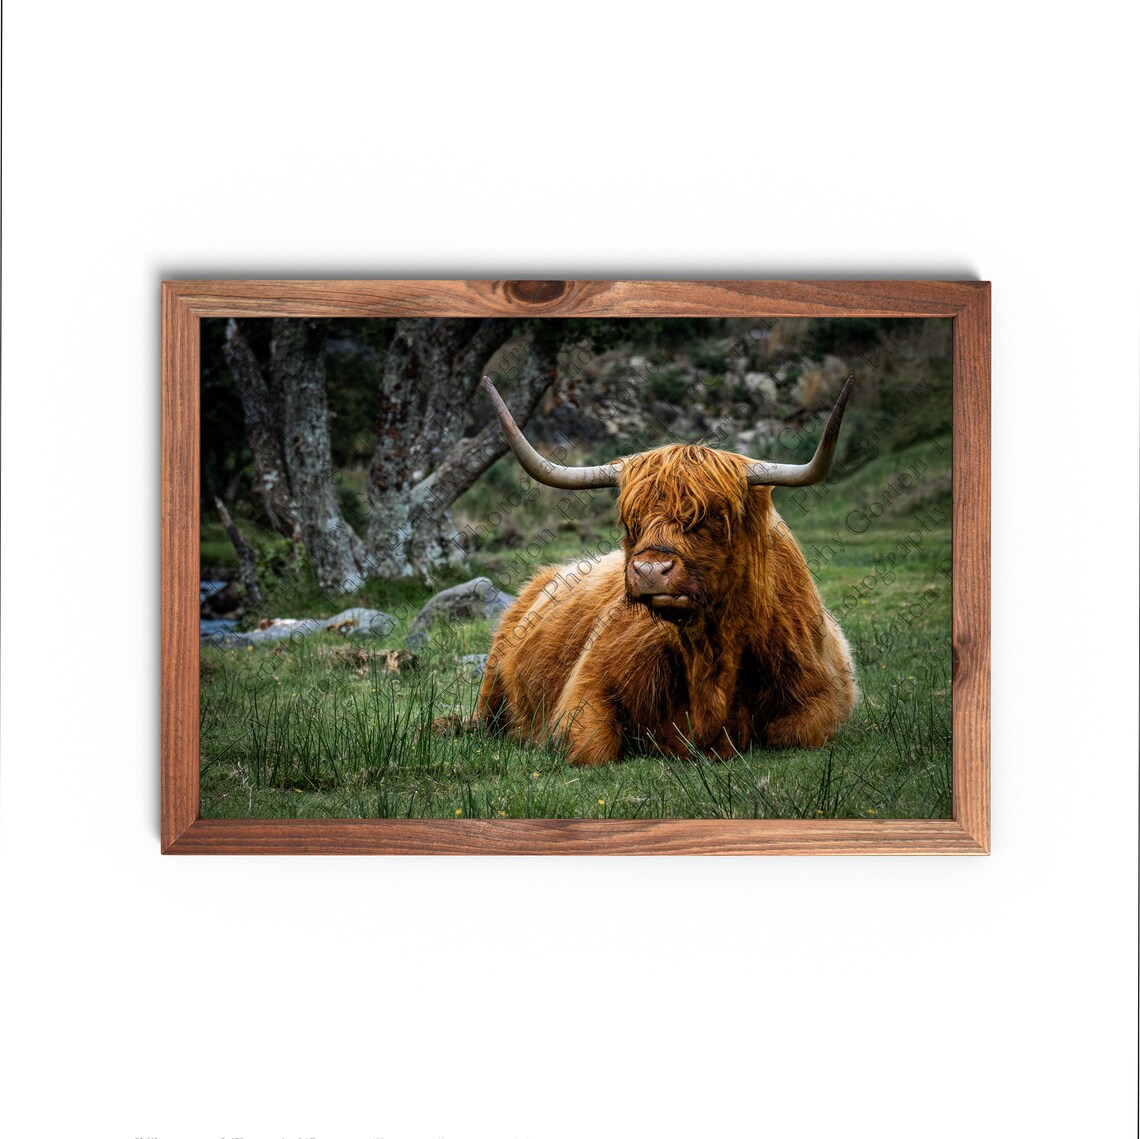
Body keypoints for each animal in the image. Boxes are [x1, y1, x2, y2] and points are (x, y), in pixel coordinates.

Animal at [471, 375, 859, 766]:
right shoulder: (584, 692)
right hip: (494, 670)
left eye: (712, 517)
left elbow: (795, 733)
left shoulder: (823, 698)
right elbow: (589, 746)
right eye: (632, 521)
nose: (649, 569)